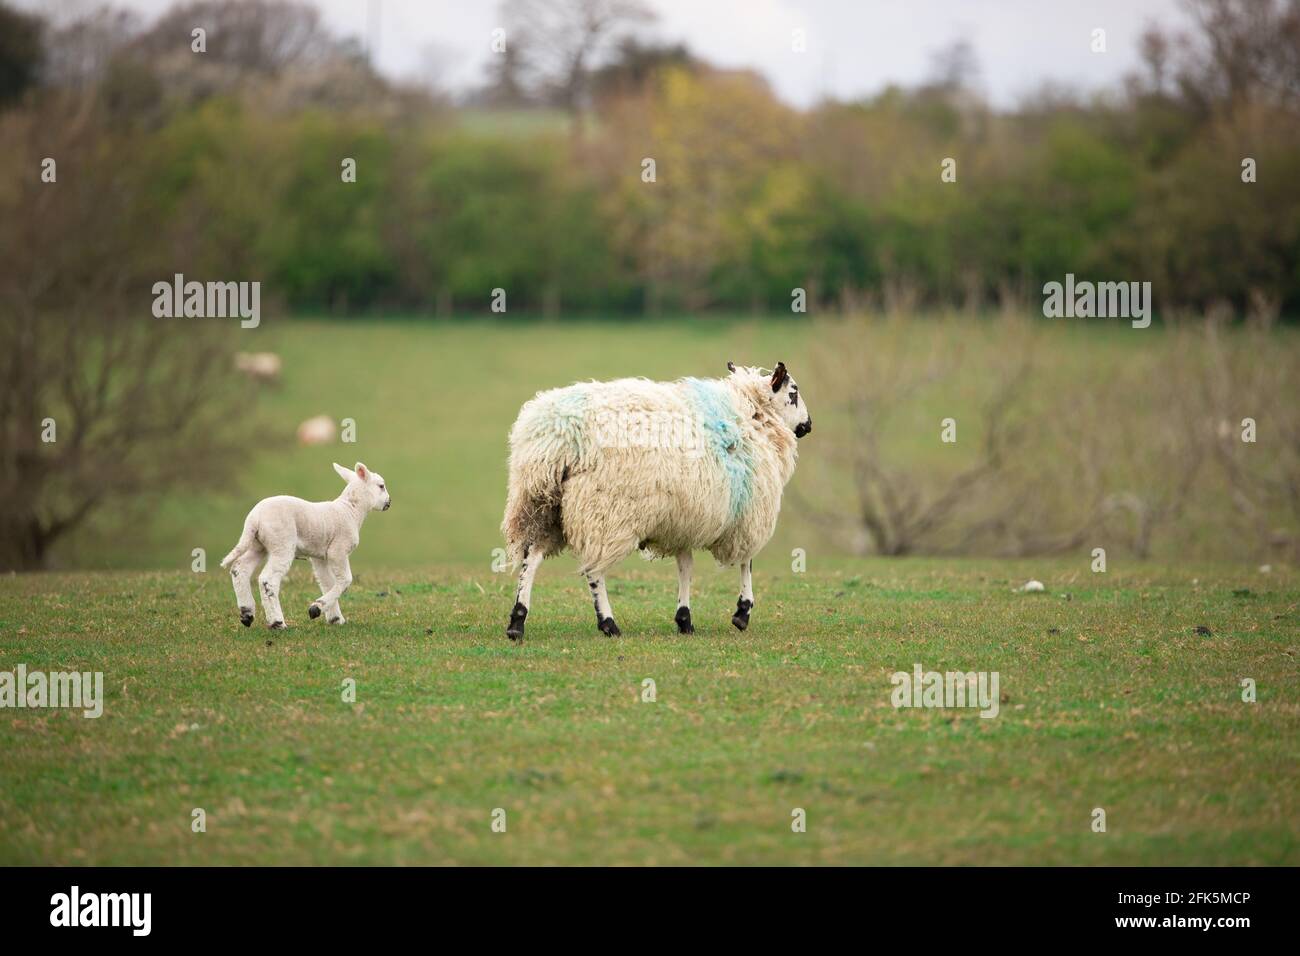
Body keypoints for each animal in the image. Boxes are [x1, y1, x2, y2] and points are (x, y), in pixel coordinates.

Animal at [220, 462, 391, 629]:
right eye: (381, 486)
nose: (389, 503)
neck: (350, 510)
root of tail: (254, 518)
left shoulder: (320, 557)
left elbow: (327, 583)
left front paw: (335, 619)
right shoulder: (338, 550)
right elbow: (345, 580)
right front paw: (316, 609)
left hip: (257, 544)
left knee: (240, 568)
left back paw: (247, 614)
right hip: (282, 543)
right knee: (268, 579)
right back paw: (277, 623)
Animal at [501, 361, 812, 641]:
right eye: (794, 392)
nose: (808, 425)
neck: (754, 416)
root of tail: (558, 434)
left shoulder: (683, 518)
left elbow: (686, 567)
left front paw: (684, 619)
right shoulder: (748, 514)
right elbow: (747, 561)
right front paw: (742, 613)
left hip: (541, 506)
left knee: (532, 557)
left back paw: (517, 621)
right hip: (603, 510)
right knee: (594, 570)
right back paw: (608, 623)